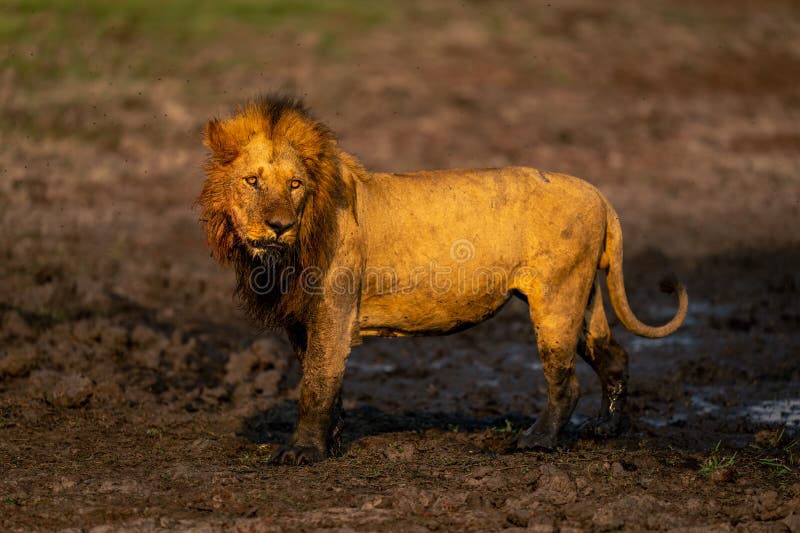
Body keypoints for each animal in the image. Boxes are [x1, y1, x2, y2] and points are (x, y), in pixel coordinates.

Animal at [198, 95, 688, 465]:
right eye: (252, 181)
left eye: (295, 184)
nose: (279, 226)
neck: (285, 255)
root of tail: (601, 195)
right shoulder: (301, 319)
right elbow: (325, 384)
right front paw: (332, 441)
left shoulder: (333, 311)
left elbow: (317, 383)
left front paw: (303, 453)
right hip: (583, 295)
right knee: (614, 355)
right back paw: (606, 428)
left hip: (557, 296)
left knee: (565, 380)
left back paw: (537, 441)